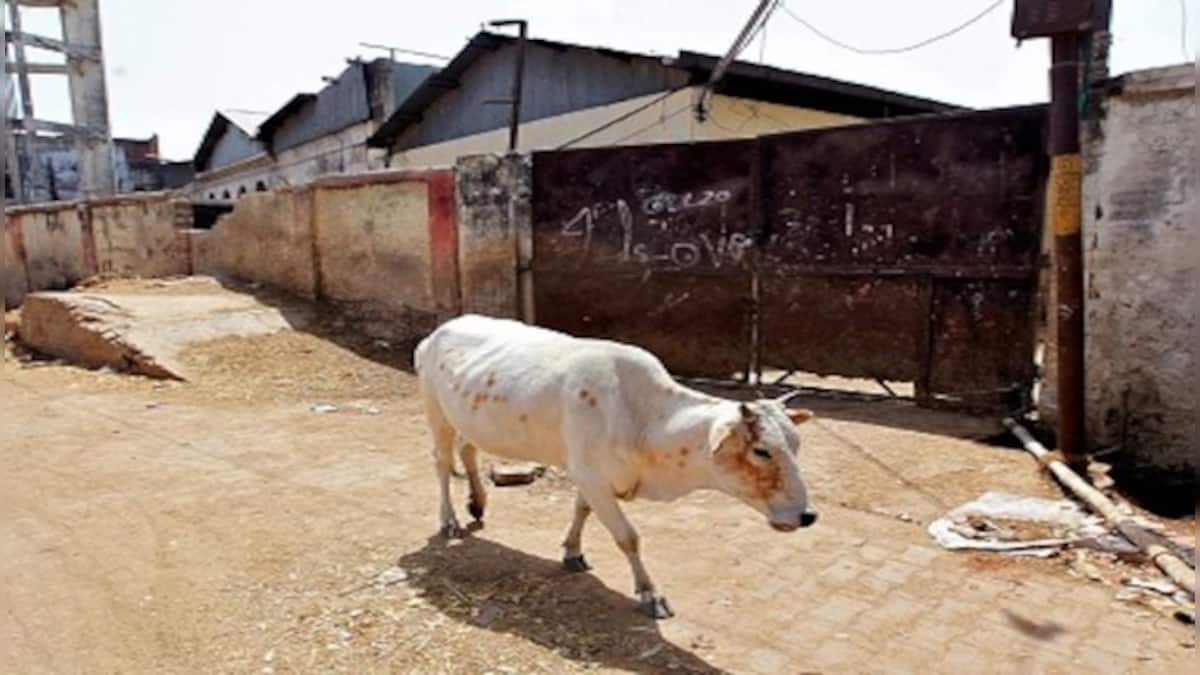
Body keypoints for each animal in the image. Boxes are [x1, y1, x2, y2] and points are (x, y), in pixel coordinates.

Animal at [414, 314, 818, 619]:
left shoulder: (590, 477)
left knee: (467, 450)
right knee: (441, 463)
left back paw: (477, 503)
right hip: (436, 412)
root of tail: (436, 333)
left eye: (796, 444)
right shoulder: (591, 476)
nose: (808, 515)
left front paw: (572, 552)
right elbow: (628, 537)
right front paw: (649, 594)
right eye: (762, 451)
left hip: (469, 419)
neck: (642, 418)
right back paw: (450, 520)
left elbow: (581, 510)